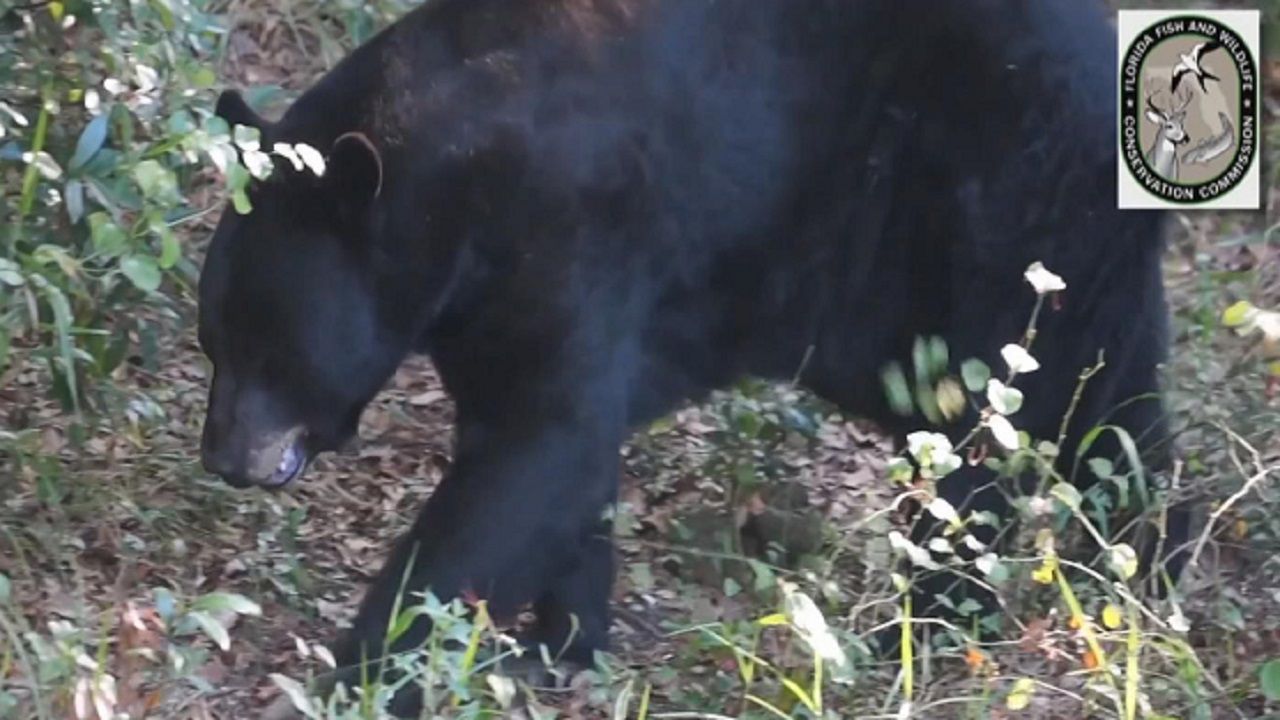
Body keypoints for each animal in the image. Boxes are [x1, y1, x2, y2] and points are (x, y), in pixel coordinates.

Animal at [197, 0, 1188, 714]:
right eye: (214, 339)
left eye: (269, 349)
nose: (222, 459)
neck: (457, 193)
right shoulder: (495, 311)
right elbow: (558, 463)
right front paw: (564, 647)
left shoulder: (569, 240)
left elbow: (528, 462)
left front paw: (360, 678)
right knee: (1091, 412)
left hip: (1012, 218)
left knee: (1026, 425)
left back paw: (960, 616)